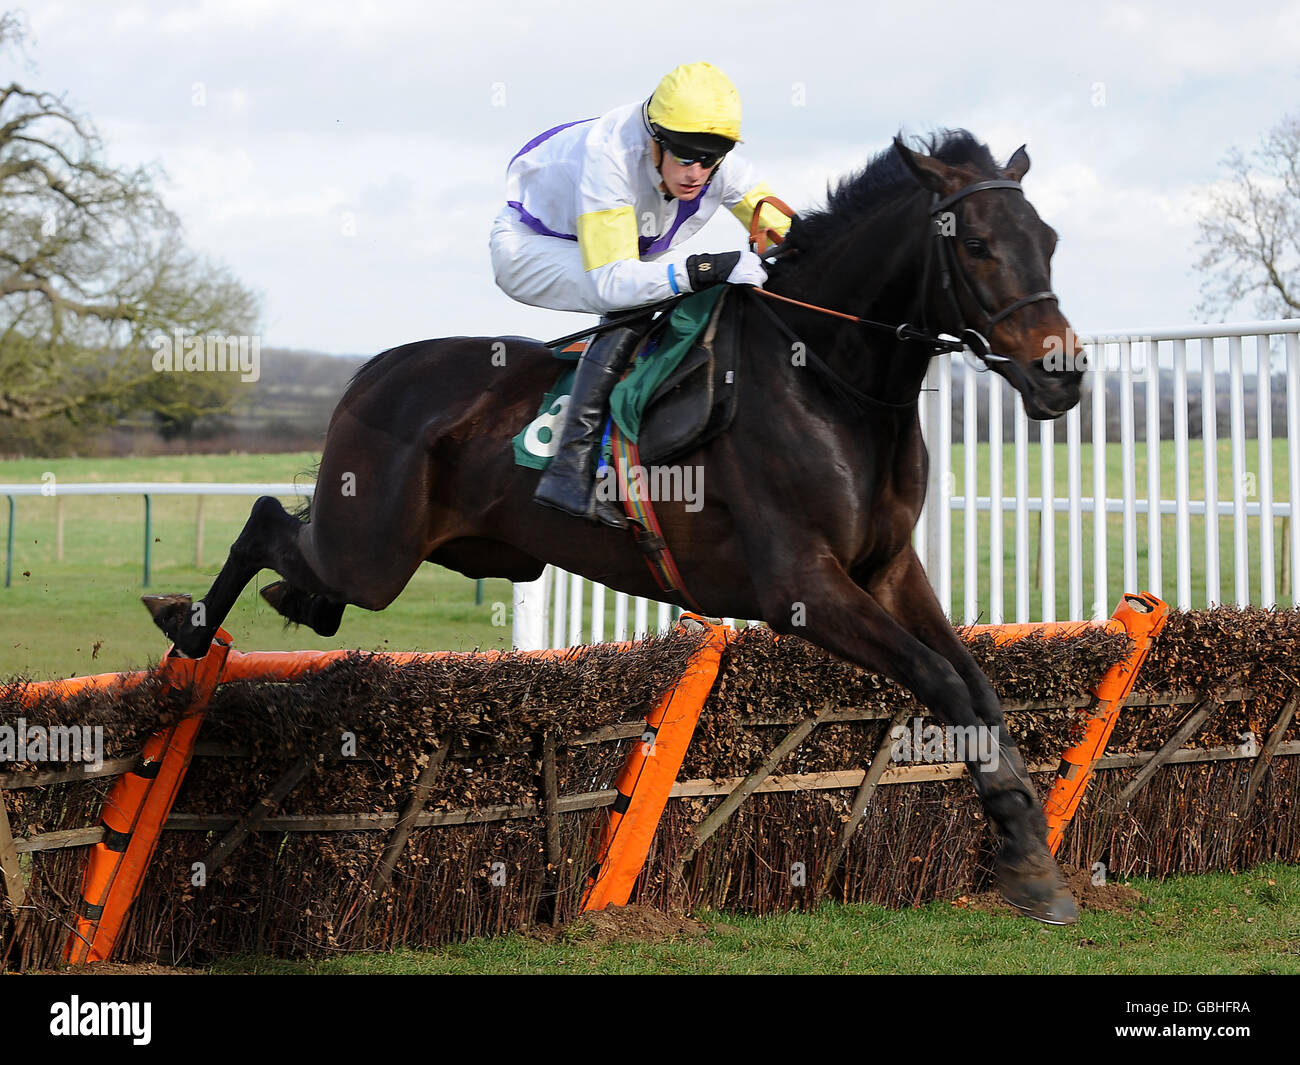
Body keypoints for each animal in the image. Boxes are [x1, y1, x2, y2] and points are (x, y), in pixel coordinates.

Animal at [144, 130, 1086, 923]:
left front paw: (1028, 851)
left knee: (299, 558)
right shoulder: (803, 588)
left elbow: (973, 683)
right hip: (369, 551)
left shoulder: (887, 569)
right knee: (268, 519)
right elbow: (939, 679)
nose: (1063, 375)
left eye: (1049, 238)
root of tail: (370, 372)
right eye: (976, 243)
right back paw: (186, 622)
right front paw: (1024, 852)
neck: (828, 375)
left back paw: (277, 607)